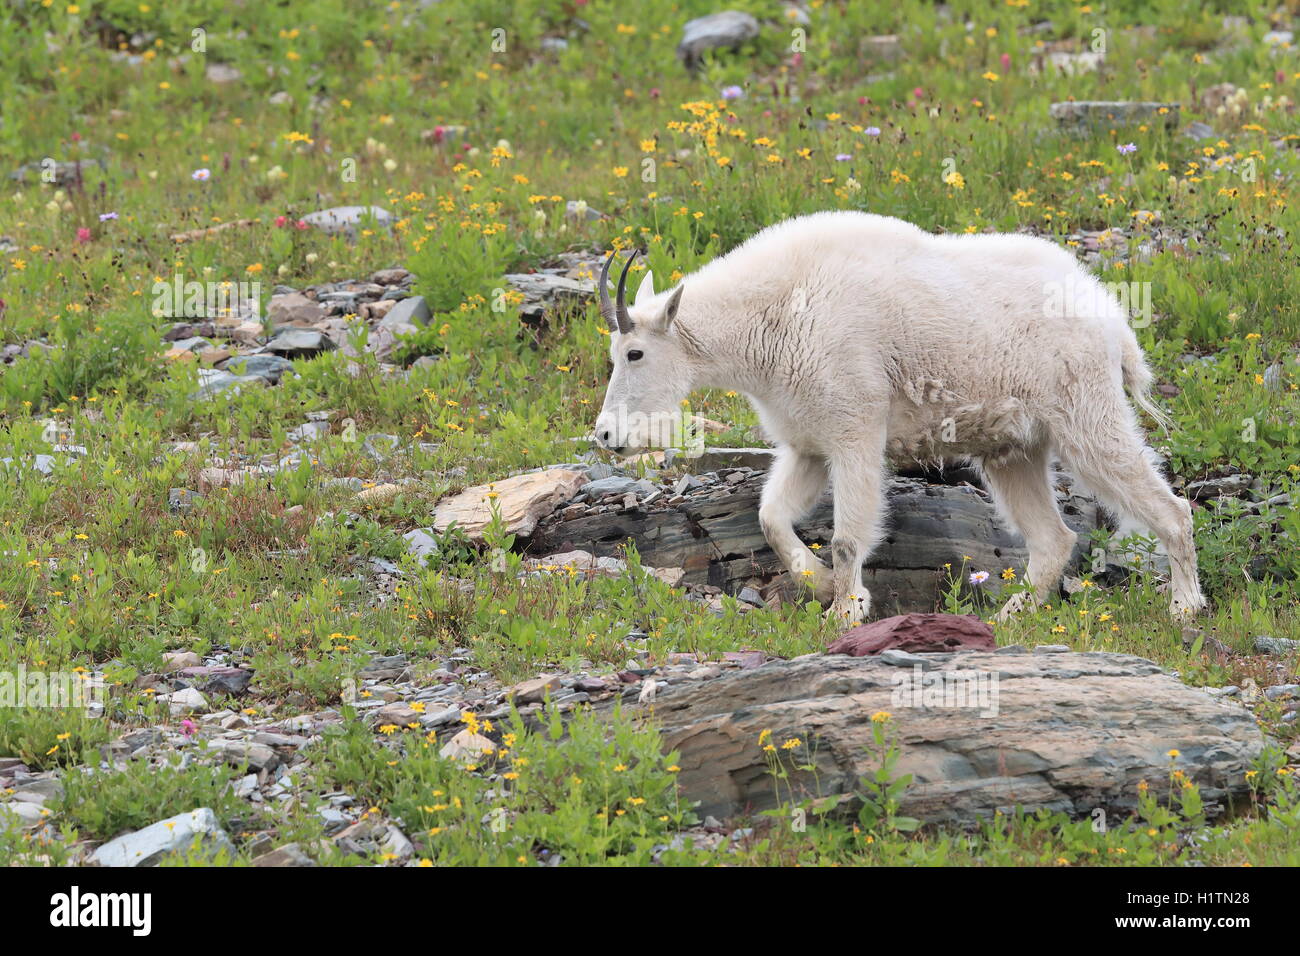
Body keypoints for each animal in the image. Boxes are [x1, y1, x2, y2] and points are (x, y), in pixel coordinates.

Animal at [592, 211, 1204, 623]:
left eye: (635, 353)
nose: (606, 435)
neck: (772, 317)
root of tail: (1111, 317)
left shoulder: (855, 430)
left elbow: (846, 535)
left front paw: (845, 610)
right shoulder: (808, 444)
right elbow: (770, 517)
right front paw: (821, 586)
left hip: (1085, 414)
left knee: (1168, 507)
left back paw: (1184, 606)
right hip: (1014, 447)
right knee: (1054, 537)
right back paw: (1014, 613)